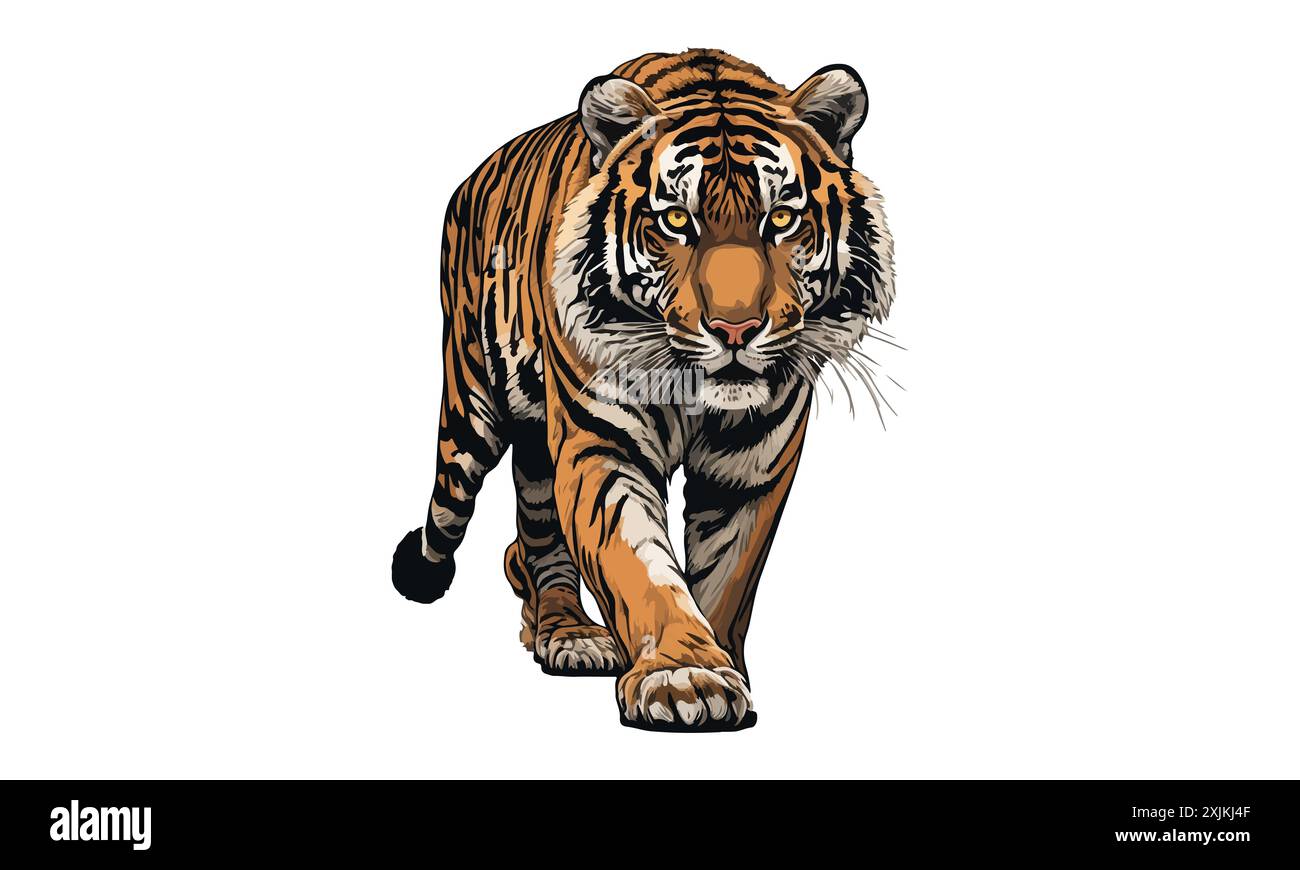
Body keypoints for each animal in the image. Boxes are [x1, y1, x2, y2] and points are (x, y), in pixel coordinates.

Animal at [391, 49, 895, 731]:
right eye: (677, 220)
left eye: (782, 219)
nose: (734, 328)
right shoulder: (602, 444)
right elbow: (640, 566)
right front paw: (684, 677)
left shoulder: (751, 466)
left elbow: (725, 579)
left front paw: (724, 667)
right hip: (472, 414)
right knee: (512, 523)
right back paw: (570, 634)